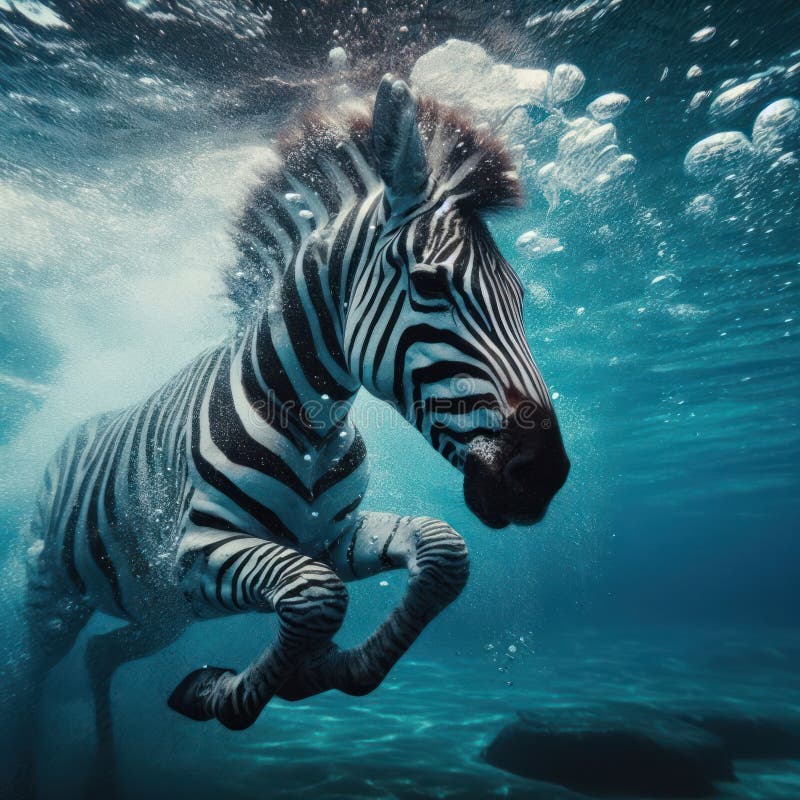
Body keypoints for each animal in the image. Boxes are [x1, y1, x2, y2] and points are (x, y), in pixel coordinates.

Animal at [15, 75, 570, 794]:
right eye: (428, 284)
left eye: (522, 300)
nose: (545, 474)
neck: (308, 420)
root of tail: (80, 425)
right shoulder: (195, 553)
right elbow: (315, 596)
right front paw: (224, 691)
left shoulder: (328, 538)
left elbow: (443, 554)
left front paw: (317, 668)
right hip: (55, 595)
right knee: (31, 680)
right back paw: (27, 770)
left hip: (157, 612)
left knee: (100, 656)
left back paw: (107, 773)